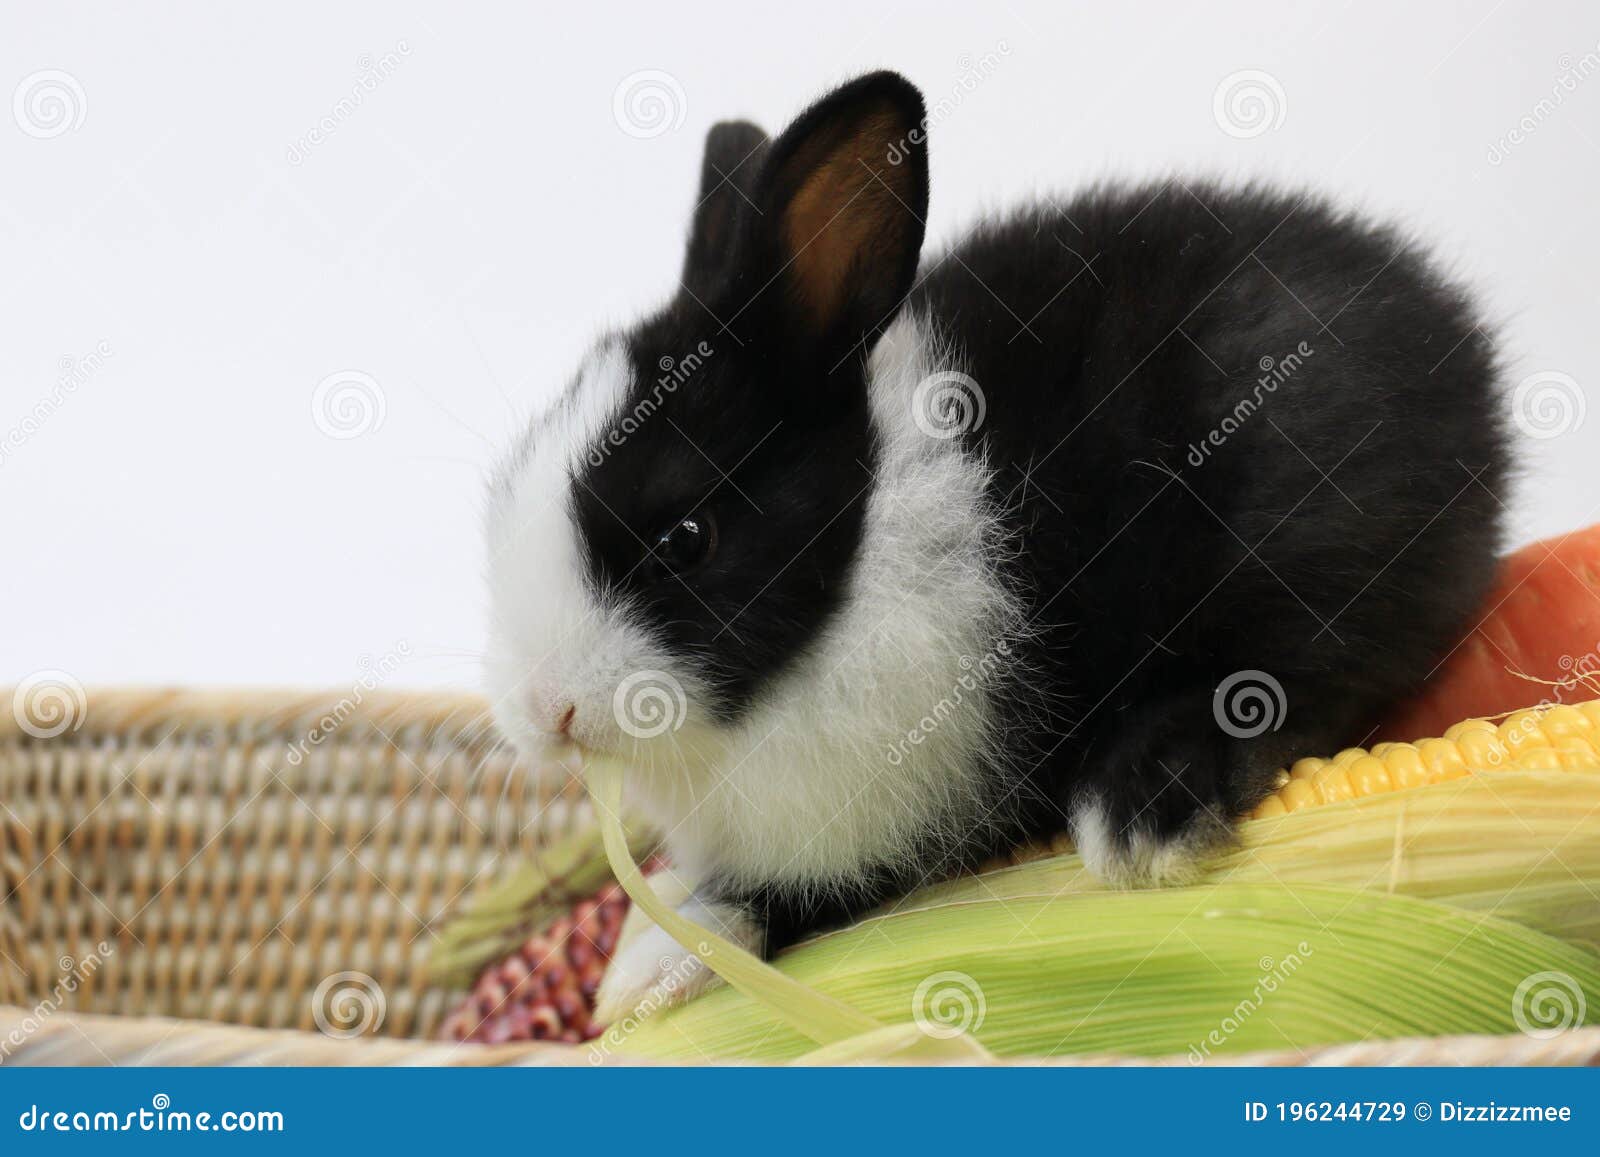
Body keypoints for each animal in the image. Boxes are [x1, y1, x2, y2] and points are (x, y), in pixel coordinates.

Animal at [483, 71, 1509, 1021]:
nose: (545, 711)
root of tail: (1461, 349)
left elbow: (783, 900)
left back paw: (1143, 815)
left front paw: (645, 972)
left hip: (1304, 541)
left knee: (1297, 679)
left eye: (685, 538)